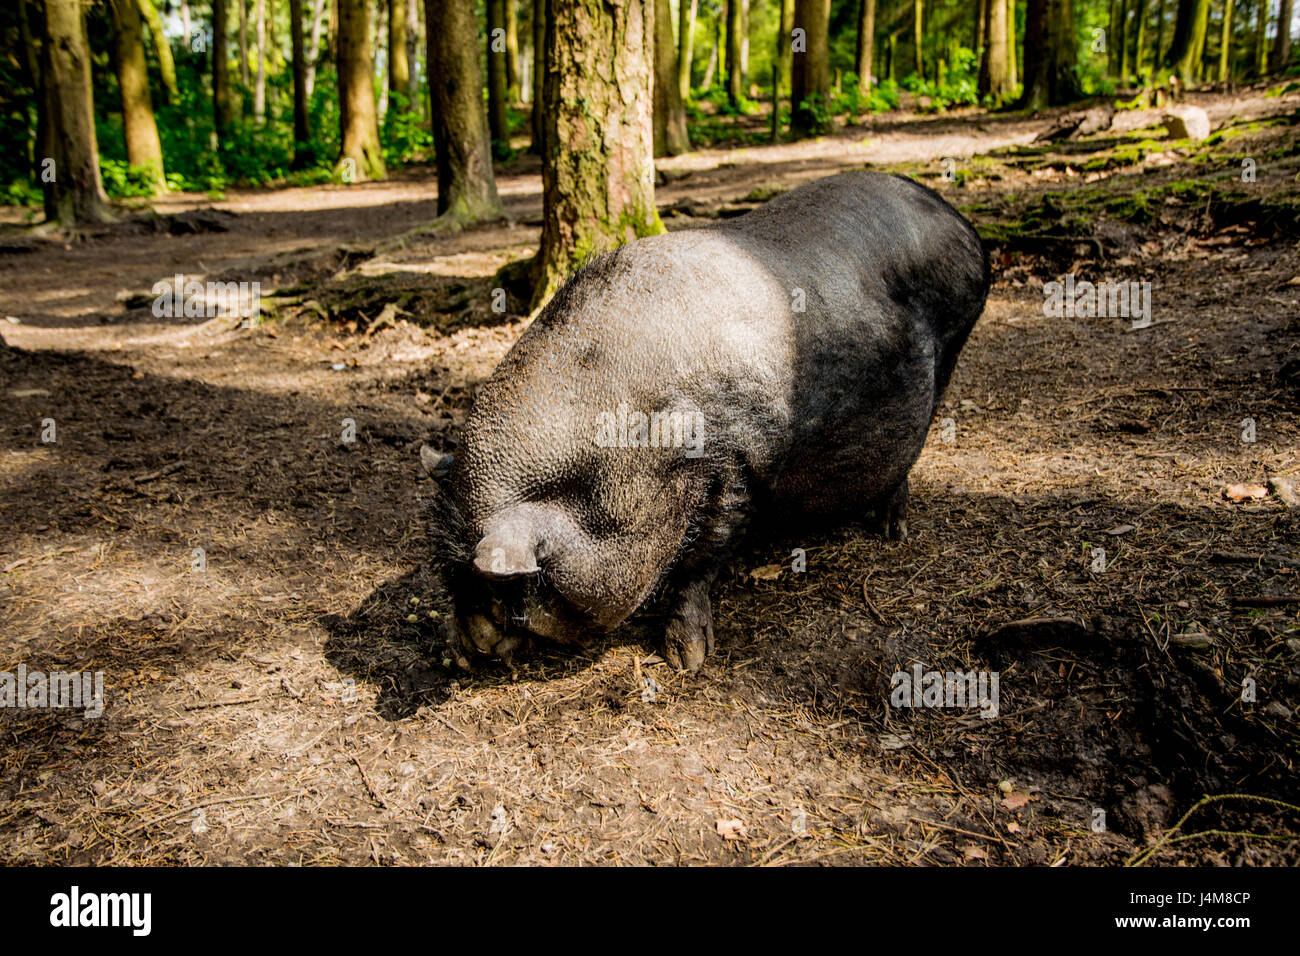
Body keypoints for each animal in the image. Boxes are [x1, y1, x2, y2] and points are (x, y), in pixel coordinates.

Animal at [426, 170, 989, 671]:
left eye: (508, 585)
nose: (467, 651)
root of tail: (961, 222)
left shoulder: (745, 462)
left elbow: (702, 560)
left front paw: (688, 660)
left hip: (957, 341)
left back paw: (893, 532)